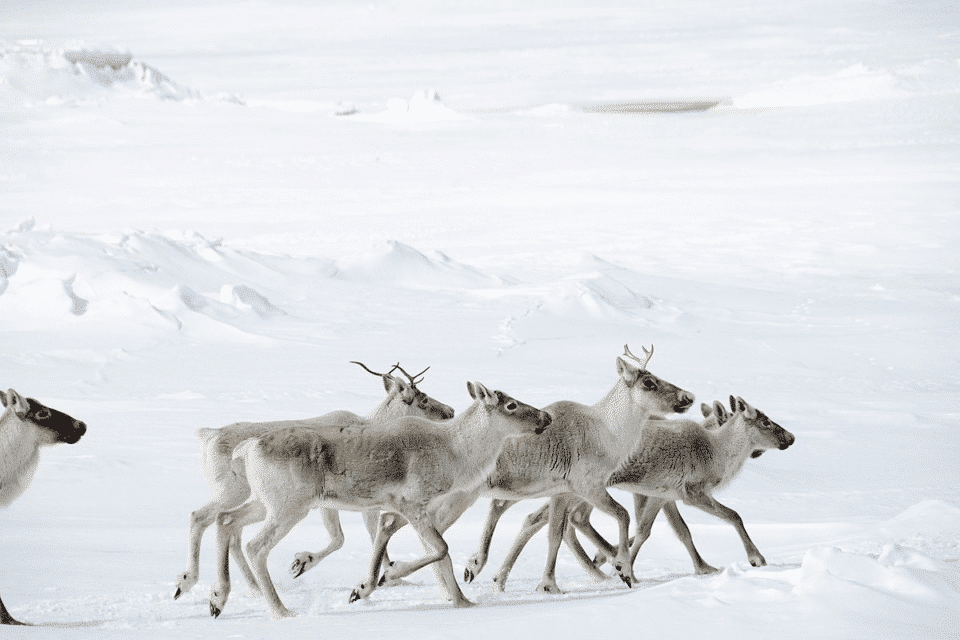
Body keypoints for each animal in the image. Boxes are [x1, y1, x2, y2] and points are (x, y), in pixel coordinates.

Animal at [173, 361, 454, 600]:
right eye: (423, 399)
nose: (450, 411)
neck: (376, 422)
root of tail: (209, 436)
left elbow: (342, 538)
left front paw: (302, 563)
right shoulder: (361, 504)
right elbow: (363, 536)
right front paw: (392, 578)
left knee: (229, 531)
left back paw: (250, 588)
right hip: (233, 493)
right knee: (202, 518)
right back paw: (189, 582)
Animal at [207, 381, 552, 619]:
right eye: (510, 405)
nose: (546, 416)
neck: (456, 452)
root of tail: (246, 449)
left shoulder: (418, 509)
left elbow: (440, 554)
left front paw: (462, 602)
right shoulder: (410, 503)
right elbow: (440, 548)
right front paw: (382, 578)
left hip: (264, 503)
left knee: (225, 519)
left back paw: (217, 599)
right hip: (288, 507)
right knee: (254, 546)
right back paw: (281, 611)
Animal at [367, 345, 696, 594]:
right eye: (648, 383)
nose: (689, 397)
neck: (610, 432)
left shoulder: (562, 491)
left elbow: (554, 534)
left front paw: (548, 584)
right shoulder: (587, 485)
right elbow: (622, 515)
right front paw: (622, 569)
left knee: (394, 524)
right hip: (455, 497)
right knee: (404, 526)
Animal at [490, 396, 794, 588]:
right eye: (765, 421)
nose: (790, 437)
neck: (719, 453)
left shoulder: (662, 494)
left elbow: (667, 530)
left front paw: (701, 567)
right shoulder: (690, 492)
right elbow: (733, 516)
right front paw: (756, 558)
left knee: (540, 519)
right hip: (582, 487)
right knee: (561, 520)